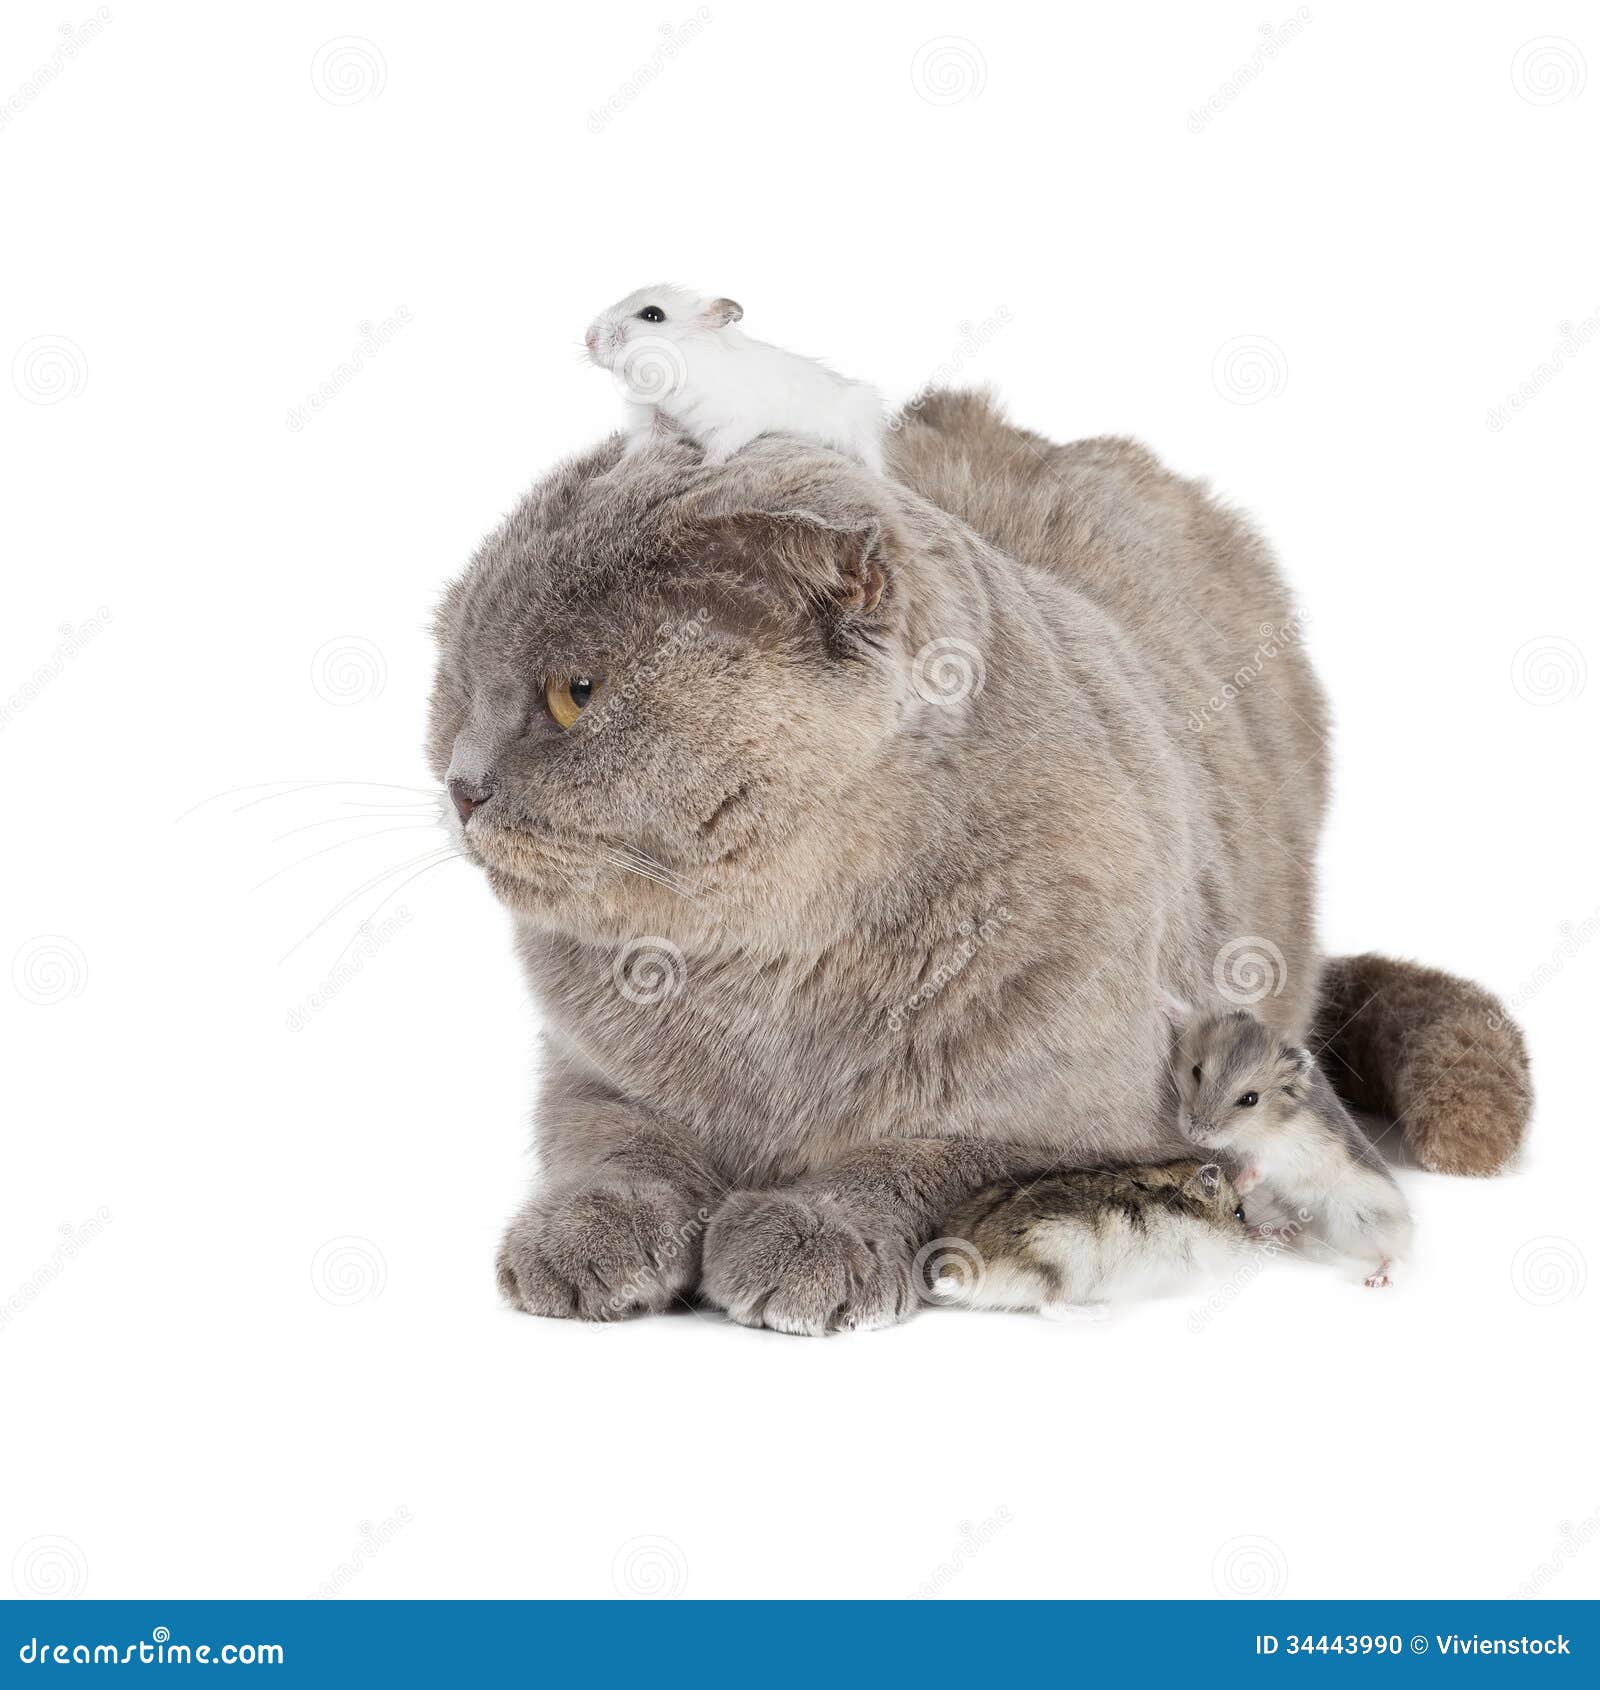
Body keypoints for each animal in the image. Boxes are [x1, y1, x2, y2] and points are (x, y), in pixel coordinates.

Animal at [584, 284, 886, 473]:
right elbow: (633, 453)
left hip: (861, 440)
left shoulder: (739, 419)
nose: (588, 339)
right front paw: (607, 474)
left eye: (652, 314)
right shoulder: (652, 421)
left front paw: (704, 468)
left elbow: (721, 445)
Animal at [930, 1160, 1252, 1321]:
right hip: (1065, 1265)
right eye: (1239, 1214)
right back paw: (1096, 1312)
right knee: (1051, 1308)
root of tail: (960, 1274)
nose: (1252, 1247)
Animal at [1172, 1007, 1413, 1288]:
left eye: (1250, 1099)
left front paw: (1237, 1186)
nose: (1194, 1135)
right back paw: (1264, 1232)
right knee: (1295, 1231)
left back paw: (1376, 1279)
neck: (1259, 1126)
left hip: (1366, 1223)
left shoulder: (1277, 1153)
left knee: (1396, 1255)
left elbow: (1255, 1170)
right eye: (1196, 1071)